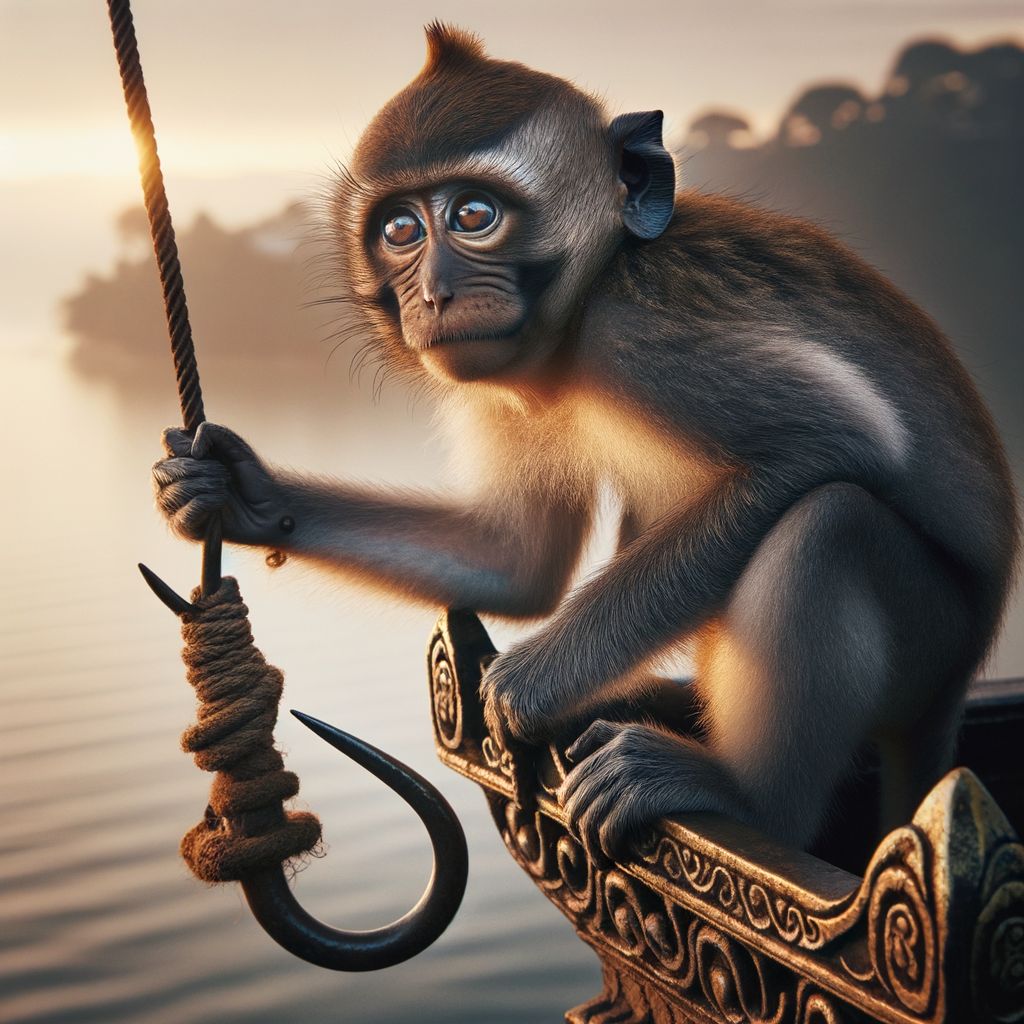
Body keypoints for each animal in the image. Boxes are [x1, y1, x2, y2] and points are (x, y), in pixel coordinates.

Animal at [153, 23, 1019, 862]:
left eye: (474, 216)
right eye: (400, 229)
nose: (433, 293)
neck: (579, 314)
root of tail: (954, 692)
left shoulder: (633, 330)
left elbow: (827, 443)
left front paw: (531, 684)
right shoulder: (499, 383)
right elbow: (514, 561)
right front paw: (241, 493)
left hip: (929, 638)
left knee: (830, 525)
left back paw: (749, 799)